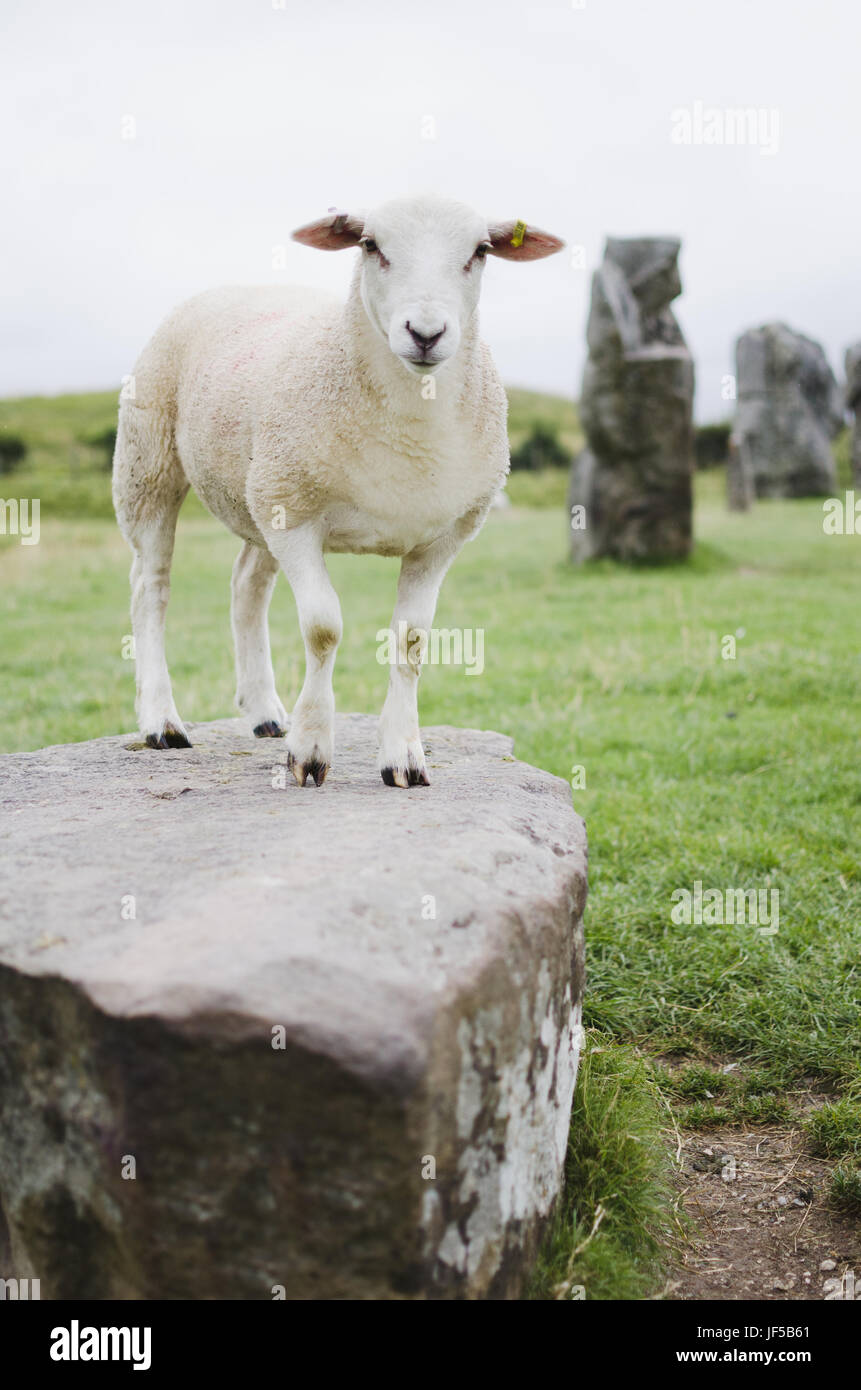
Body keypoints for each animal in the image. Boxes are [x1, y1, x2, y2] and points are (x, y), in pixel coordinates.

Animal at [112, 195, 564, 787]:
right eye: (370, 246)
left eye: (481, 251)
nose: (425, 333)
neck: (408, 439)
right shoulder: (297, 519)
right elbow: (323, 628)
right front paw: (310, 752)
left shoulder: (441, 539)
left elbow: (412, 641)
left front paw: (403, 757)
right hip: (153, 461)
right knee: (151, 586)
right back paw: (161, 722)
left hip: (260, 490)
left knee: (246, 586)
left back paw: (264, 712)